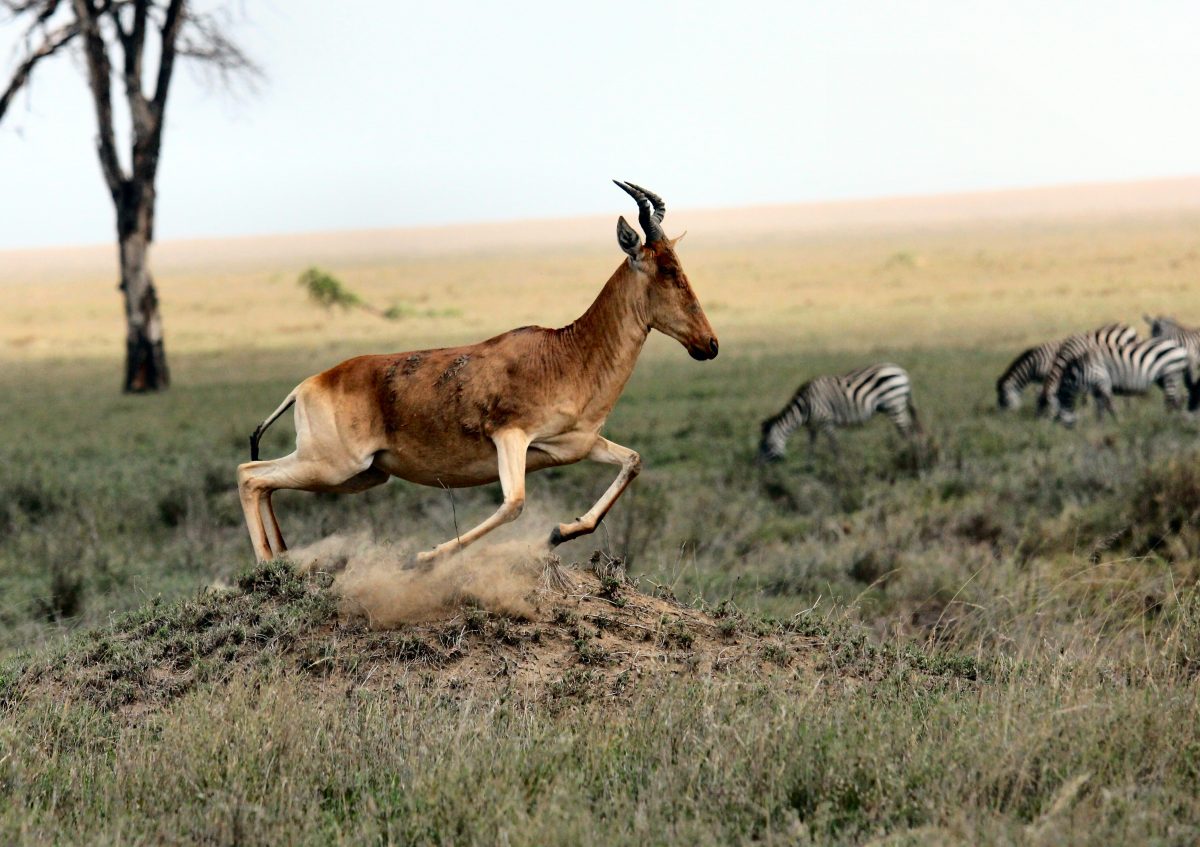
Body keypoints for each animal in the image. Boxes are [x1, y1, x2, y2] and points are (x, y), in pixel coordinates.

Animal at [237, 182, 719, 564]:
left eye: (679, 264)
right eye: (667, 270)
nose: (709, 344)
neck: (565, 352)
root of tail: (308, 385)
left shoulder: (576, 446)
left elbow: (632, 462)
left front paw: (559, 532)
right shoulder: (510, 436)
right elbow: (514, 503)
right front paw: (426, 556)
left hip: (363, 474)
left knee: (264, 482)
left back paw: (283, 558)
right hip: (334, 465)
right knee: (250, 473)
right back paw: (267, 566)